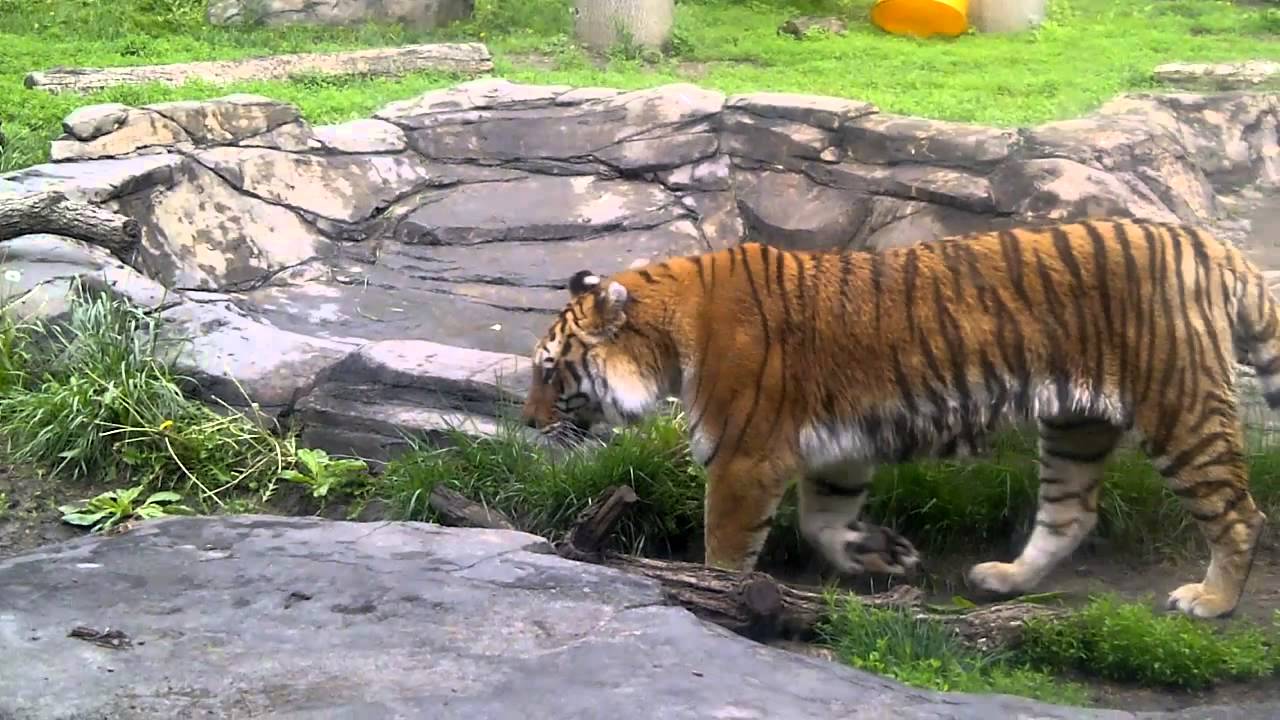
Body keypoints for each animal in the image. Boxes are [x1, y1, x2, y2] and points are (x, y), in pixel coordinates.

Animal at [520, 218, 1278, 619]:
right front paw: (880, 554)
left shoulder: (744, 461)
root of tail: (1207, 242)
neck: (671, 336)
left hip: (1179, 408)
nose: (526, 425)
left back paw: (1211, 600)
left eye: (550, 371)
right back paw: (1004, 579)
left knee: (1241, 513)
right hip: (1076, 424)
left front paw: (719, 599)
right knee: (1070, 514)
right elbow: (820, 522)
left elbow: (728, 551)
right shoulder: (836, 452)